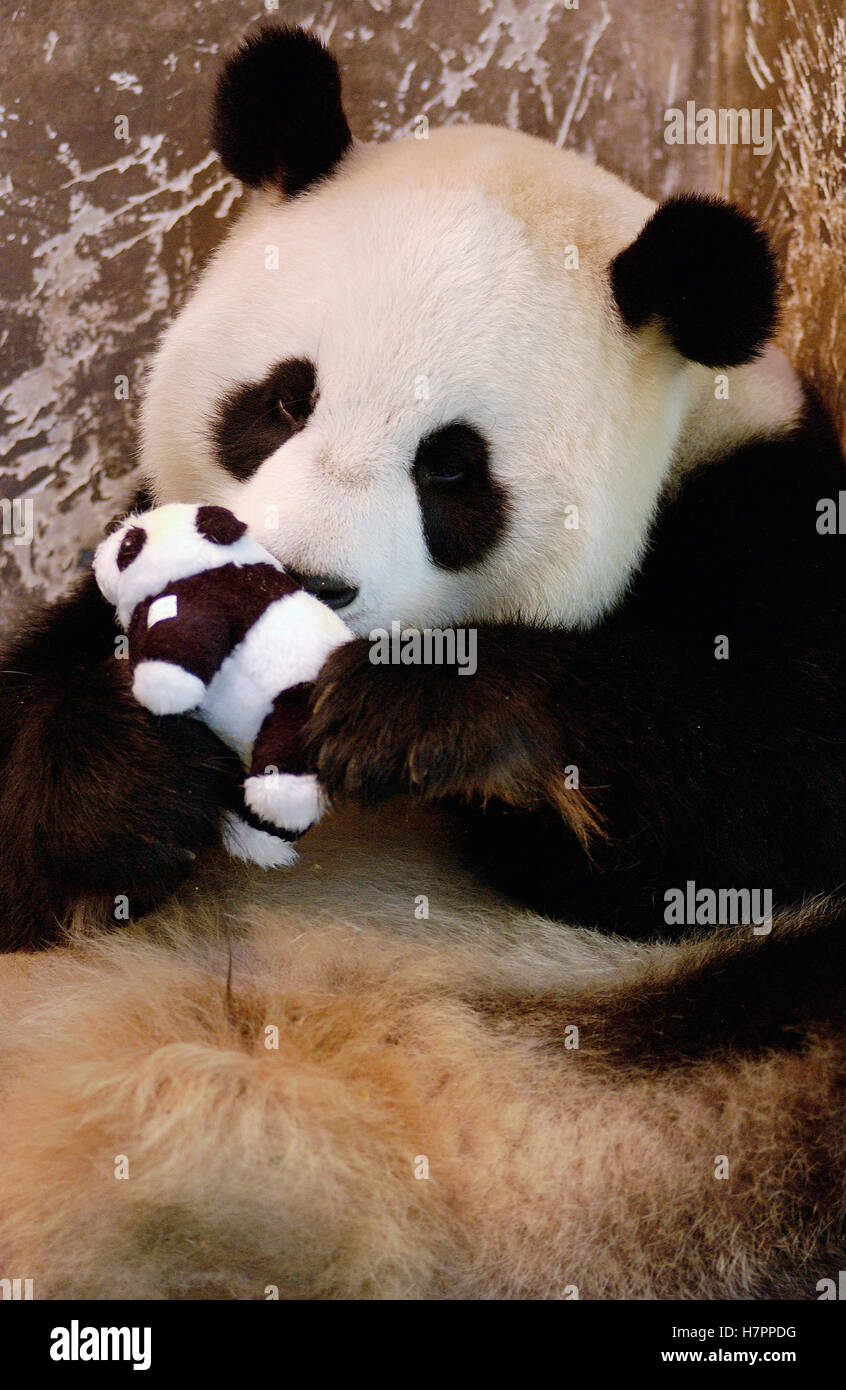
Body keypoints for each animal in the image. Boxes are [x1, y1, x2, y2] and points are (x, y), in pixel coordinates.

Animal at [1, 23, 845, 1300]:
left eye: (453, 469)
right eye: (281, 400)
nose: (308, 576)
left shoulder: (764, 508)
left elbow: (766, 794)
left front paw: (422, 711)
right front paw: (131, 775)